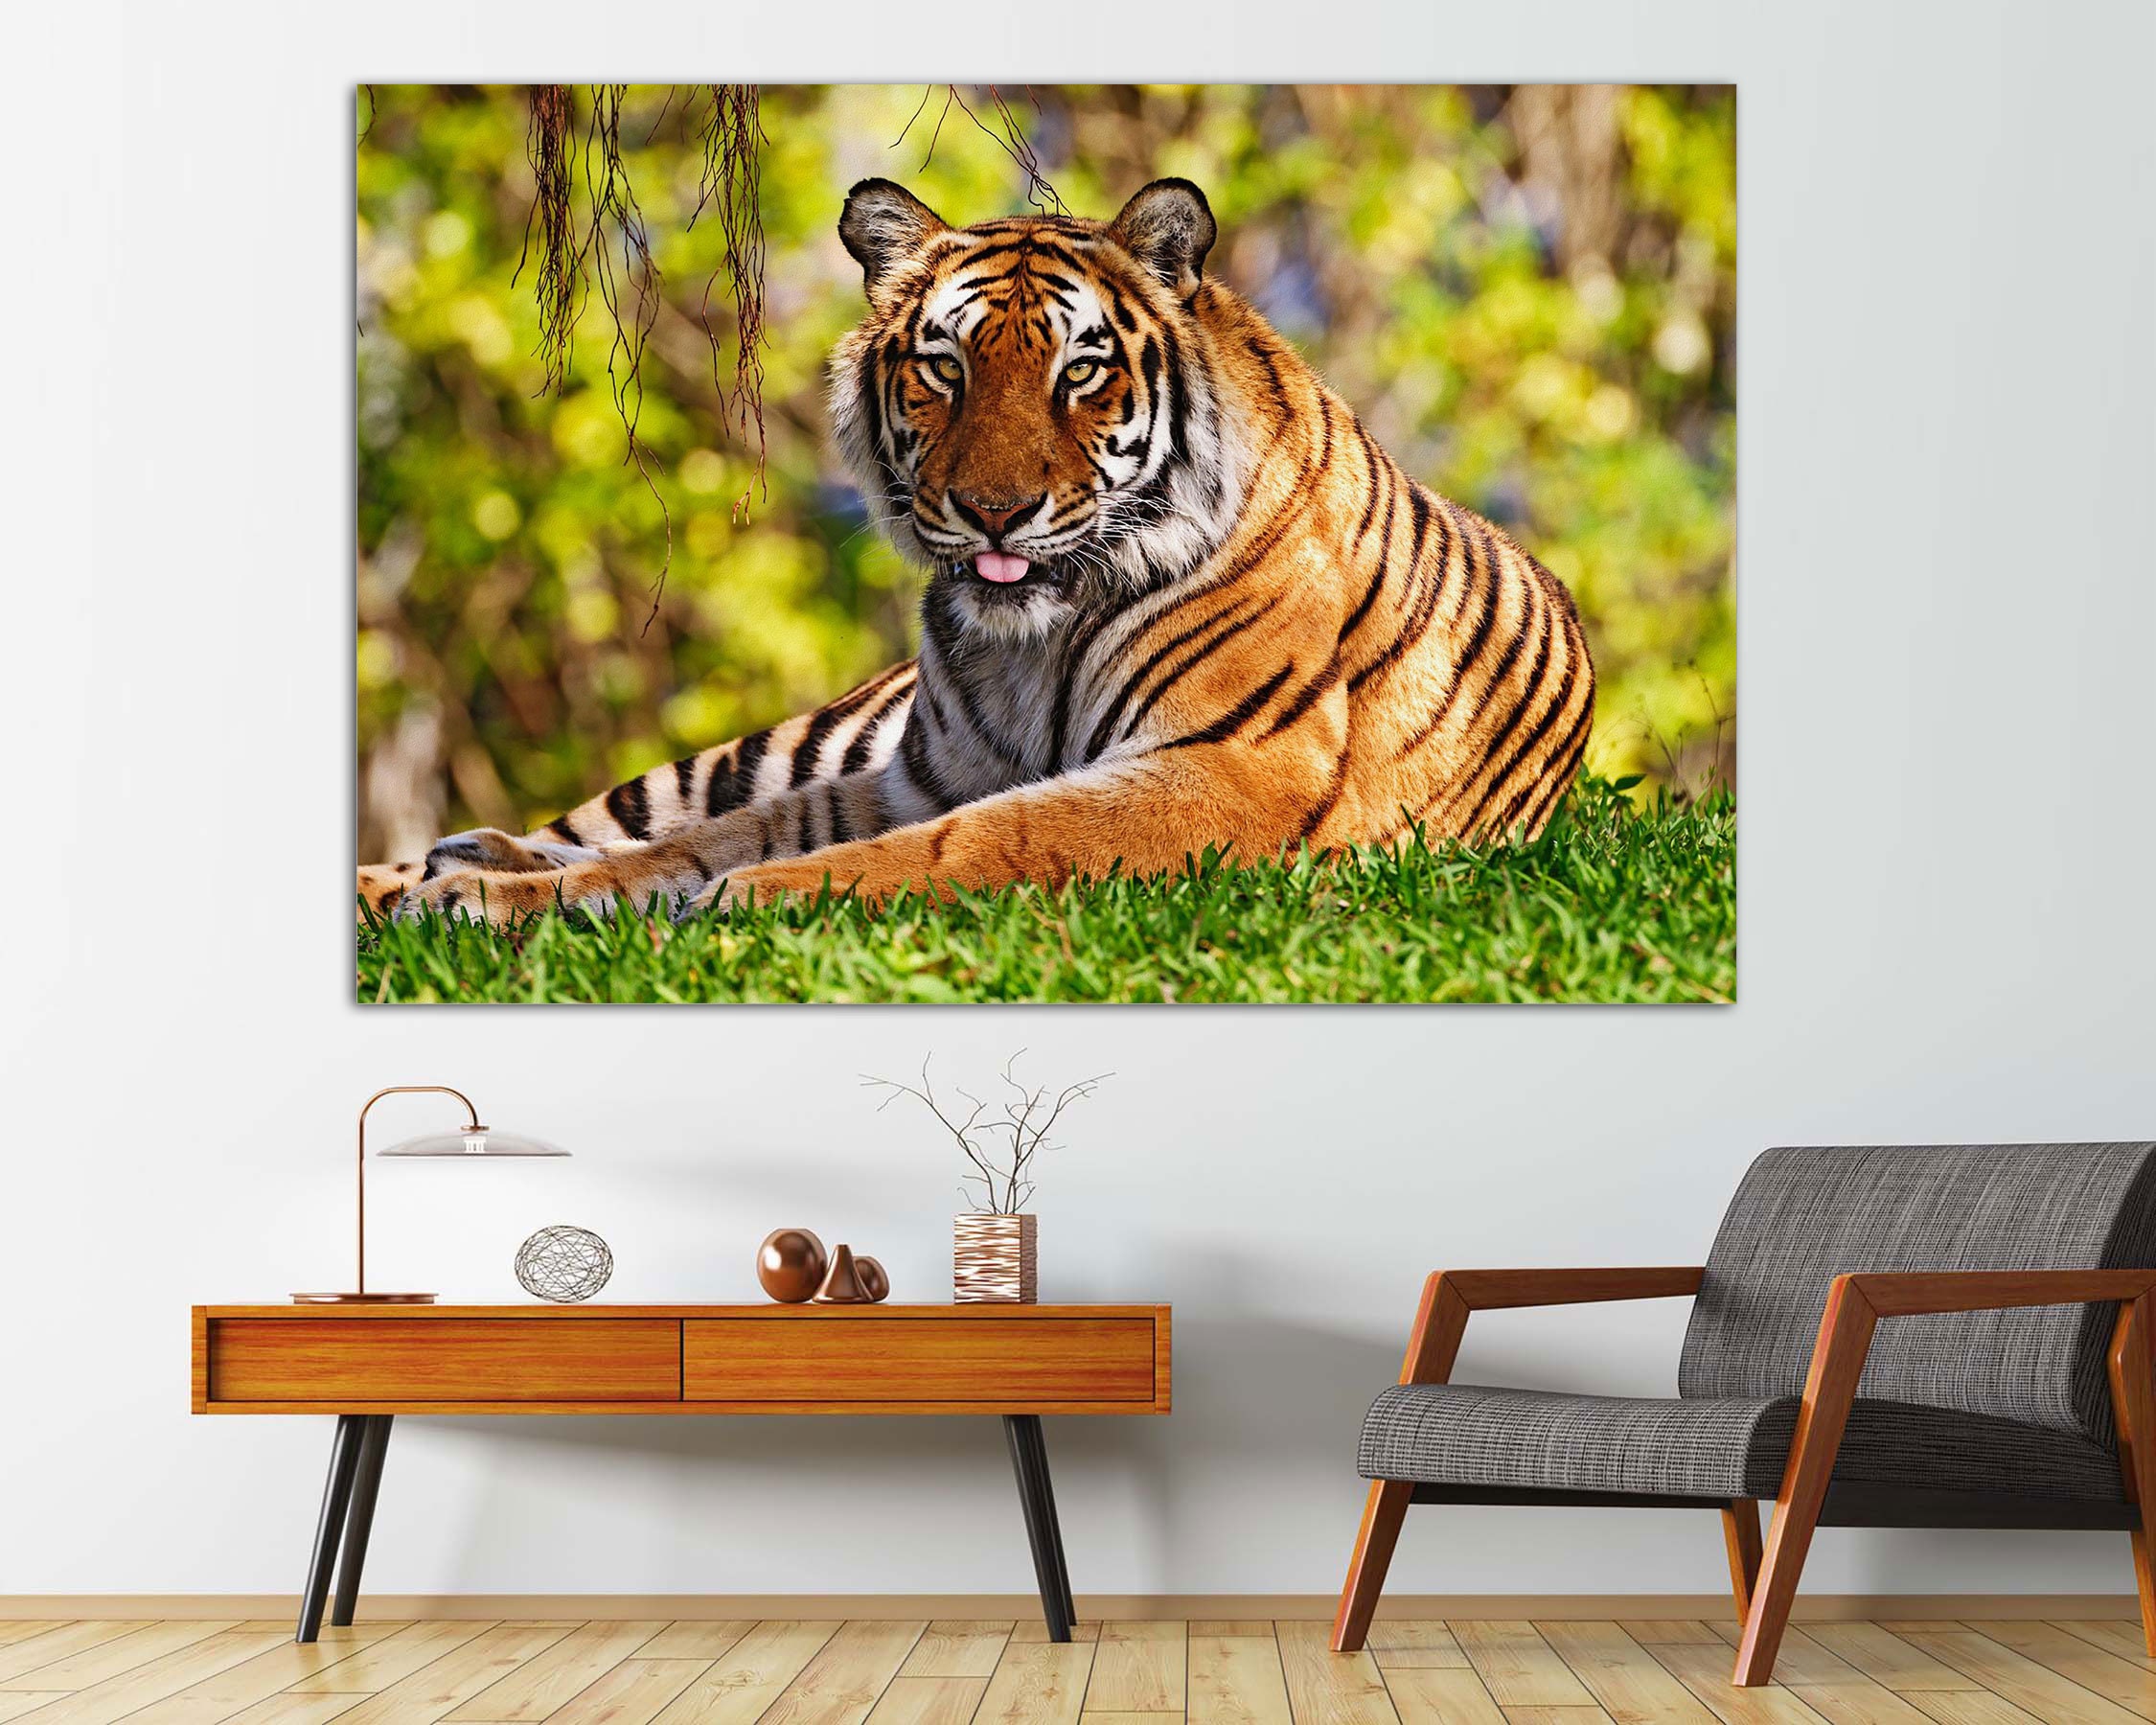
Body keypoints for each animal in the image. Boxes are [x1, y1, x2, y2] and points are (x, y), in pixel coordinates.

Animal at [358, 177, 1595, 927]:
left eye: (1080, 371)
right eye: (944, 367)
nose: (994, 510)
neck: (1030, 642)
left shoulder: (1231, 768)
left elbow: (974, 842)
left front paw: (747, 899)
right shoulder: (919, 771)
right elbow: (702, 841)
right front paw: (501, 901)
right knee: (606, 823)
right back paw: (446, 866)